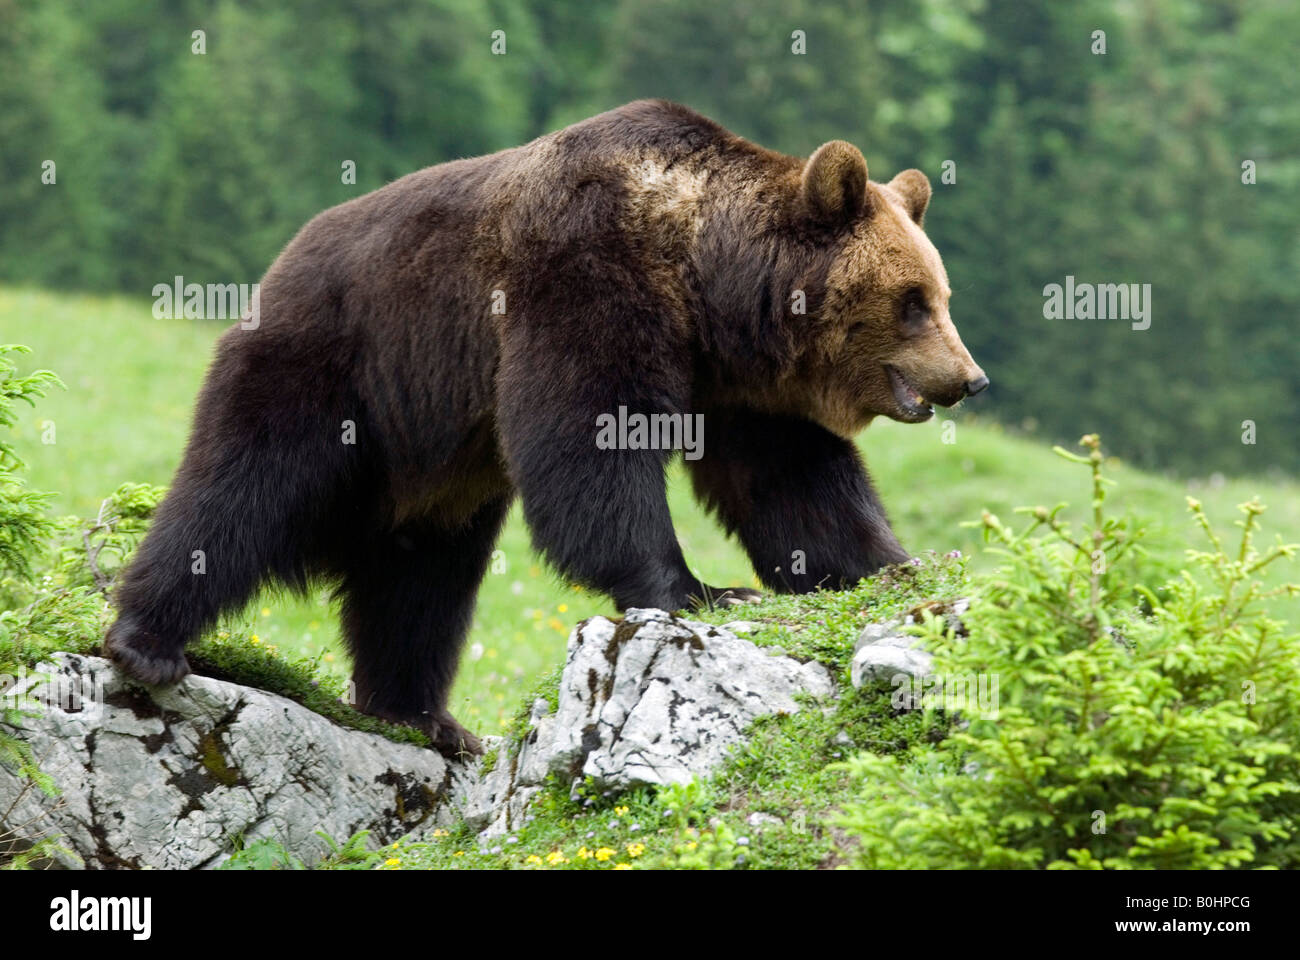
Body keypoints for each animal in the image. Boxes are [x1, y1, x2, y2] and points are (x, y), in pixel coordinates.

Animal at [104, 99, 987, 757]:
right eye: (914, 300)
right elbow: (591, 440)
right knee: (240, 490)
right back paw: (146, 639)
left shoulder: (744, 385)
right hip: (340, 371)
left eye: (940, 294)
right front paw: (697, 587)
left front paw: (889, 564)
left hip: (437, 469)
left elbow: (795, 484)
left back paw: (423, 715)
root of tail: (278, 265)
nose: (969, 378)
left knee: (422, 582)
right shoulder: (584, 274)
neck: (706, 281)